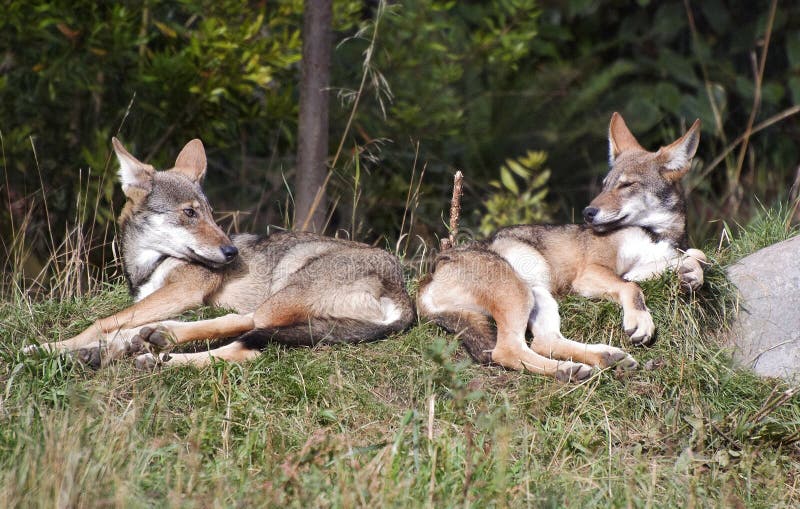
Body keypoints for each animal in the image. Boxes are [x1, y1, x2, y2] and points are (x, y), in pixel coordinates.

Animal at [27, 138, 414, 368]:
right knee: (245, 347)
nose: (230, 253)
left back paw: (157, 338)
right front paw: (69, 349)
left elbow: (102, 321)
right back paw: (147, 352)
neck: (150, 265)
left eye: (212, 214)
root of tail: (404, 297)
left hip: (280, 294)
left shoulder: (185, 291)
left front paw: (51, 347)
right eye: (189, 213)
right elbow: (116, 322)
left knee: (242, 322)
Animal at [417, 113, 707, 382]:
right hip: (519, 292)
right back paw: (570, 369)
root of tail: (428, 280)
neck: (656, 233)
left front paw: (690, 275)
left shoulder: (635, 267)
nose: (588, 213)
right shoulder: (589, 274)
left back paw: (596, 361)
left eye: (627, 184)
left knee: (543, 342)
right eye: (605, 186)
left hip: (539, 296)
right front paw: (640, 321)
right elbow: (632, 288)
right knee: (508, 350)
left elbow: (696, 256)